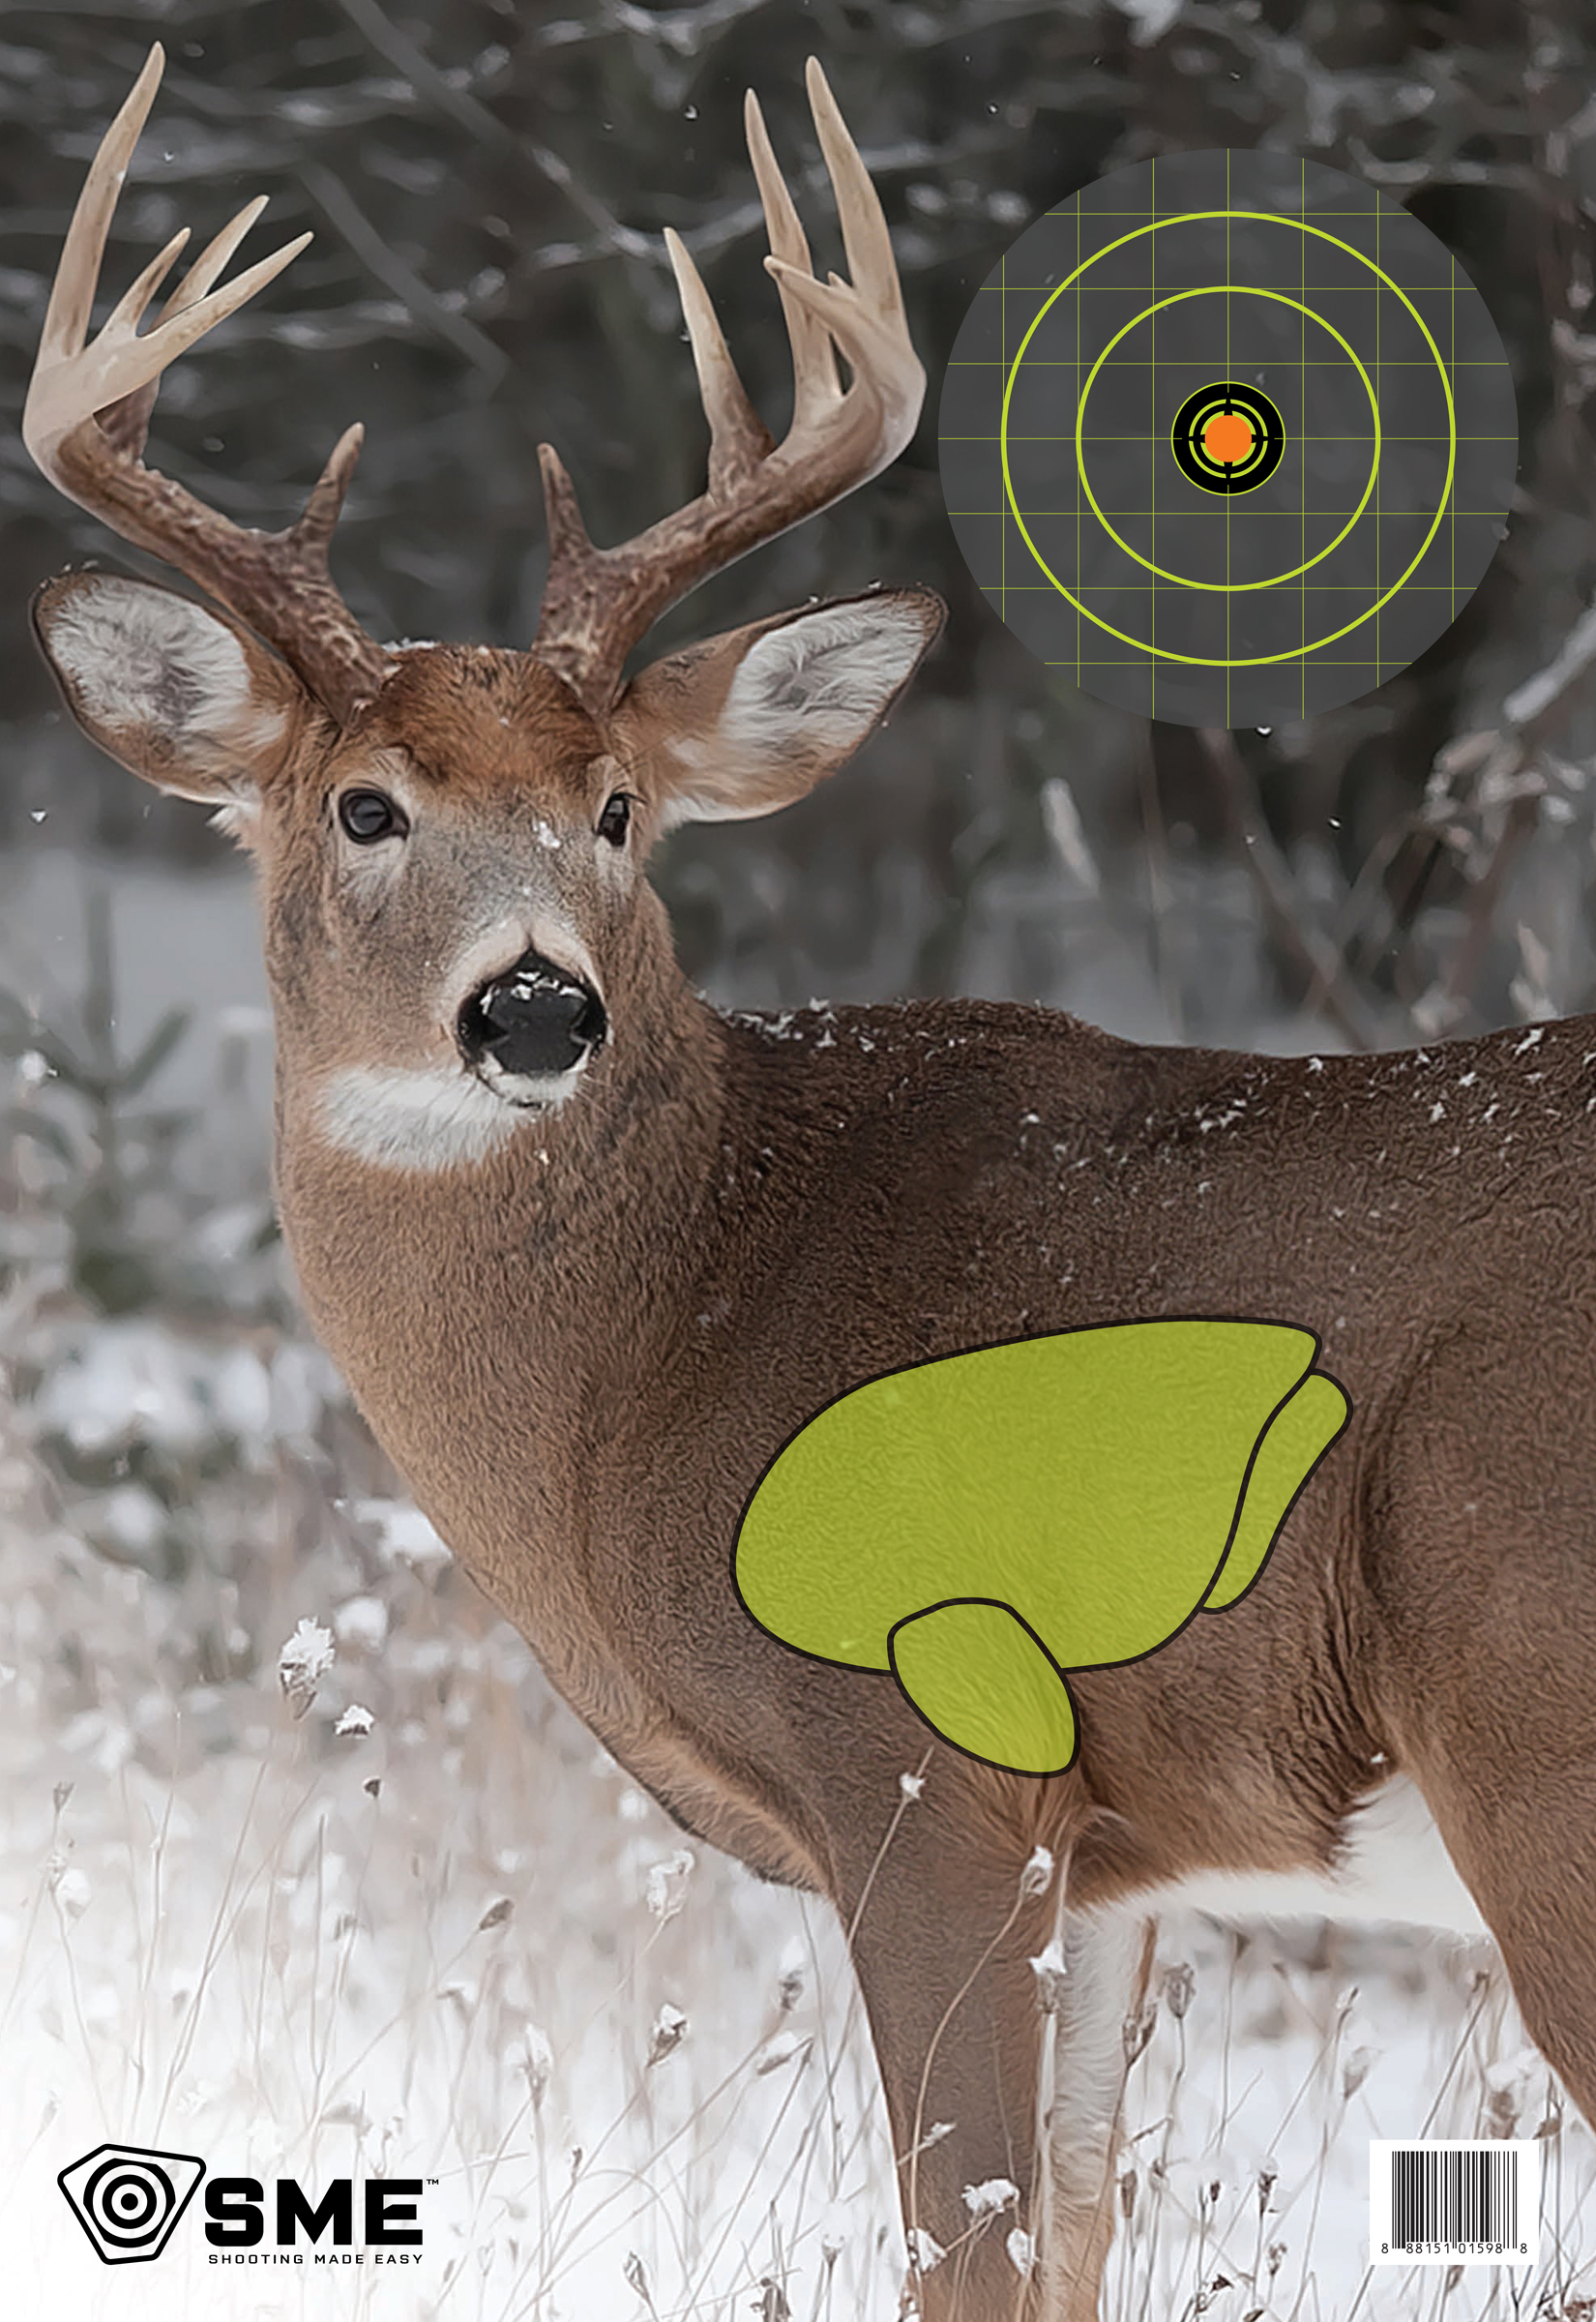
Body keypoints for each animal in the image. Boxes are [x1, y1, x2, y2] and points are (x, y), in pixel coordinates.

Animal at [23, 41, 1596, 2321]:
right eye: (365, 805)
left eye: (616, 809)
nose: (535, 1009)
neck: (663, 1346)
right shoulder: (1115, 1855)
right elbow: (1079, 2230)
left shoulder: (924, 1756)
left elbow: (971, 2241)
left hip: (1533, 1706)